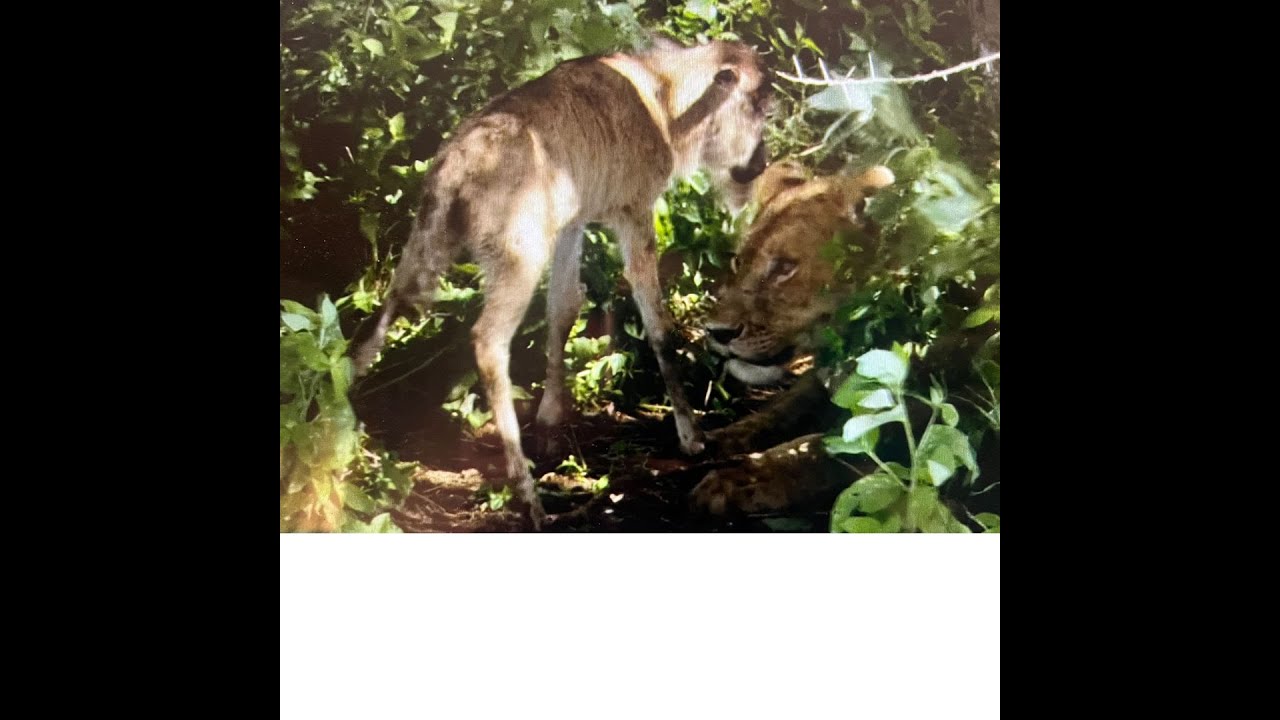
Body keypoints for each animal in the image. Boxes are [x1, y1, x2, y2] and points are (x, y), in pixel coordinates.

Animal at [349, 38, 773, 529]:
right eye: (756, 106)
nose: (761, 163)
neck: (664, 100)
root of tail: (457, 168)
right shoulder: (633, 212)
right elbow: (657, 323)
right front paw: (691, 434)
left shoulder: (573, 224)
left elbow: (564, 309)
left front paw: (551, 424)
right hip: (518, 259)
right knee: (488, 341)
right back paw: (526, 492)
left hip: (425, 245)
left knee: (380, 321)